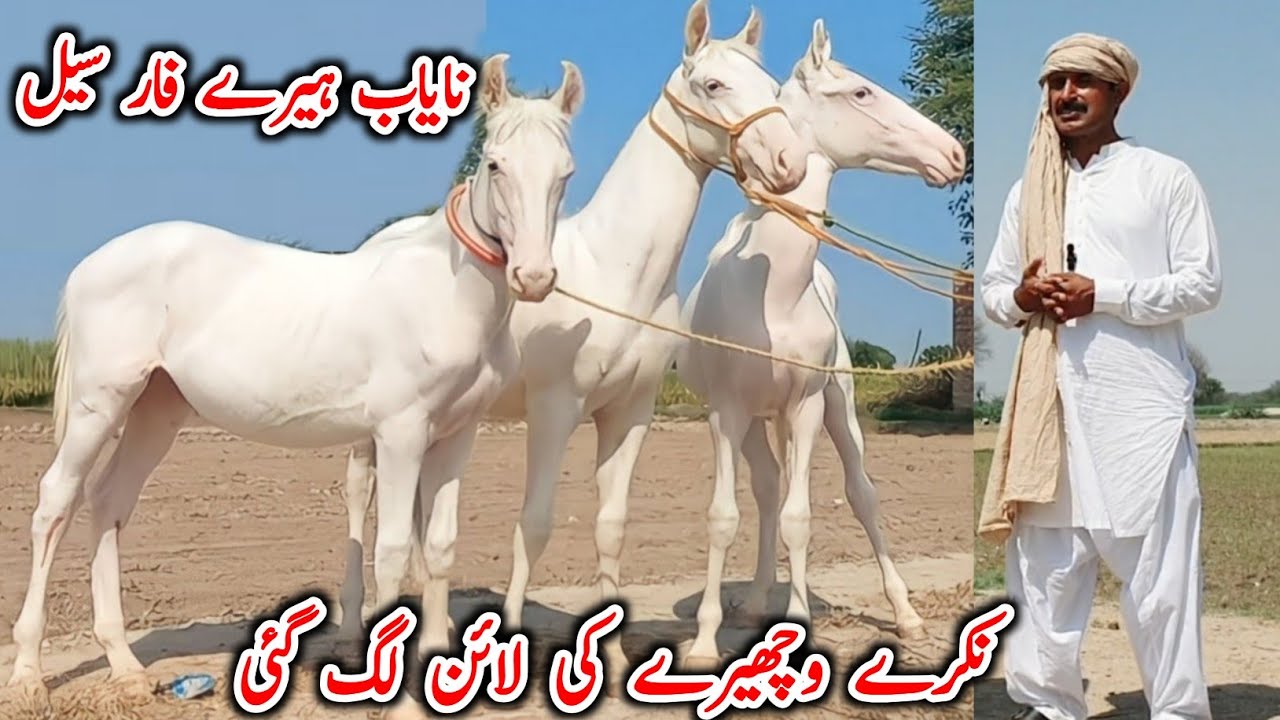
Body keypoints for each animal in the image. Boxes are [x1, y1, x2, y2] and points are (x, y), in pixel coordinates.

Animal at [4, 53, 584, 718]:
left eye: (565, 173)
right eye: (495, 163)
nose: (534, 278)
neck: (445, 293)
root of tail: (88, 266)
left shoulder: (456, 436)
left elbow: (437, 548)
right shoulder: (401, 433)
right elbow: (391, 552)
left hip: (156, 409)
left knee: (107, 504)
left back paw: (125, 668)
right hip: (98, 403)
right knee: (55, 503)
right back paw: (28, 674)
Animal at [338, 0, 810, 682]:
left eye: (773, 89)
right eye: (713, 84)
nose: (788, 164)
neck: (617, 270)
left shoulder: (630, 413)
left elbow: (610, 526)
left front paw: (610, 651)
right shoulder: (554, 409)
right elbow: (533, 525)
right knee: (358, 499)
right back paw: (355, 628)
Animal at [674, 18, 966, 664]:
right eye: (860, 92)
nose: (954, 154)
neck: (773, 291)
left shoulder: (806, 406)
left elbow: (801, 517)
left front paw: (800, 620)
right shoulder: (726, 412)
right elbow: (724, 515)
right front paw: (705, 641)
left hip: (840, 404)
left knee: (860, 494)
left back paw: (905, 615)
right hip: (756, 421)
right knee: (765, 489)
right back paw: (756, 599)